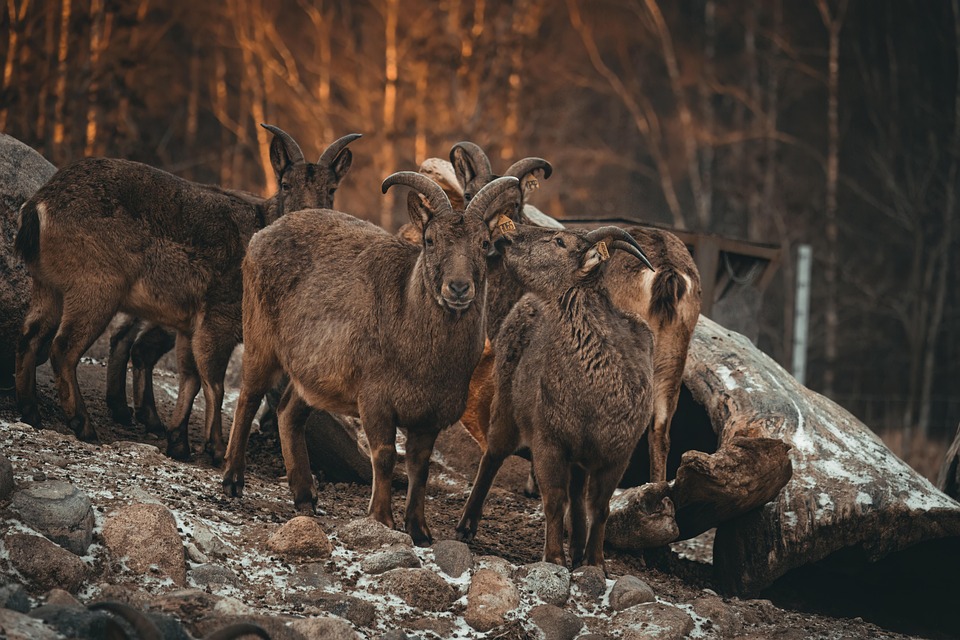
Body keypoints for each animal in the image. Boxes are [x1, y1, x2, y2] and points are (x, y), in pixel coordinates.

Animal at [14, 125, 360, 464]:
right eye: (286, 184)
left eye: (331, 189)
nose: (308, 217)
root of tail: (37, 205)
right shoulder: (218, 316)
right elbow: (214, 383)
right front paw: (215, 449)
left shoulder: (190, 324)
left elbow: (190, 378)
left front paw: (178, 443)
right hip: (95, 285)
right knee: (64, 348)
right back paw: (84, 424)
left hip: (47, 284)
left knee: (32, 334)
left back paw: (31, 411)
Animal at [221, 172, 522, 545]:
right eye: (431, 240)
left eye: (483, 243)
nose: (458, 288)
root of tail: (261, 237)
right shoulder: (376, 399)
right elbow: (385, 454)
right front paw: (381, 518)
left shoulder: (430, 416)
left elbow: (419, 466)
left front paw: (420, 531)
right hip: (260, 338)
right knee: (248, 397)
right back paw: (233, 480)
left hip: (314, 373)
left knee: (289, 411)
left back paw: (305, 496)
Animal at [450, 142, 701, 484]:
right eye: (468, 194)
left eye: (513, 204)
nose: (489, 243)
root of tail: (667, 271)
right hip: (675, 352)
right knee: (661, 428)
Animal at [456, 224, 655, 572]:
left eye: (560, 241)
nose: (507, 237)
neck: (593, 398)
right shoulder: (549, 440)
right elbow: (553, 500)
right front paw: (553, 557)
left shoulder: (618, 453)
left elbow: (600, 507)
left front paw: (595, 562)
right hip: (505, 404)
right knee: (492, 455)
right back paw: (466, 525)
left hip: (579, 456)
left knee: (577, 494)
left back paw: (577, 548)